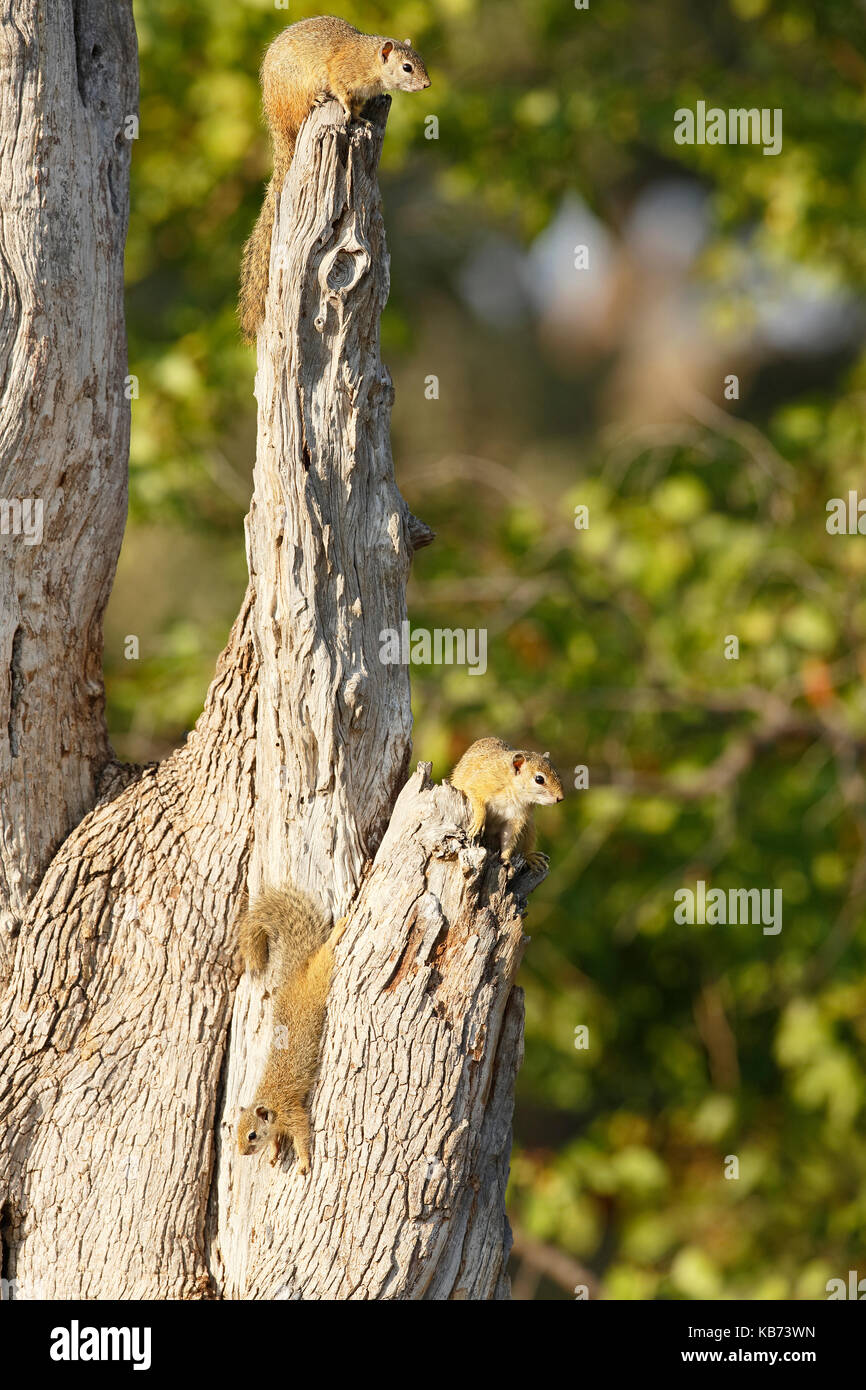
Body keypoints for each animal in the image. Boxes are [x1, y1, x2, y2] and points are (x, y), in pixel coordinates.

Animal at [236, 885, 346, 1174]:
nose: (241, 1153)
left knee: (324, 956)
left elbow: (302, 1134)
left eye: (252, 1135)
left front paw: (305, 1161)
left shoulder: (291, 1111)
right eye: (235, 1133)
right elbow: (278, 1140)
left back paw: (338, 932)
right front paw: (274, 1153)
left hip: (318, 980)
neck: (269, 1102)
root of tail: (294, 975)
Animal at [238, 16, 431, 343]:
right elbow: (343, 96)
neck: (368, 60)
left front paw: (366, 113)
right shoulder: (341, 74)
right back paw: (318, 99)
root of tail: (276, 122)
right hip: (296, 90)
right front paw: (354, 115)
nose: (427, 84)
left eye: (421, 61)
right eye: (407, 67)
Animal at [448, 738, 564, 872]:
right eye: (539, 779)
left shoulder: (517, 817)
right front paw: (478, 821)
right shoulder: (480, 782)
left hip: (529, 828)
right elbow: (475, 796)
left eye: (558, 775)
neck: (513, 790)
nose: (560, 798)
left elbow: (509, 839)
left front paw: (506, 859)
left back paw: (531, 857)